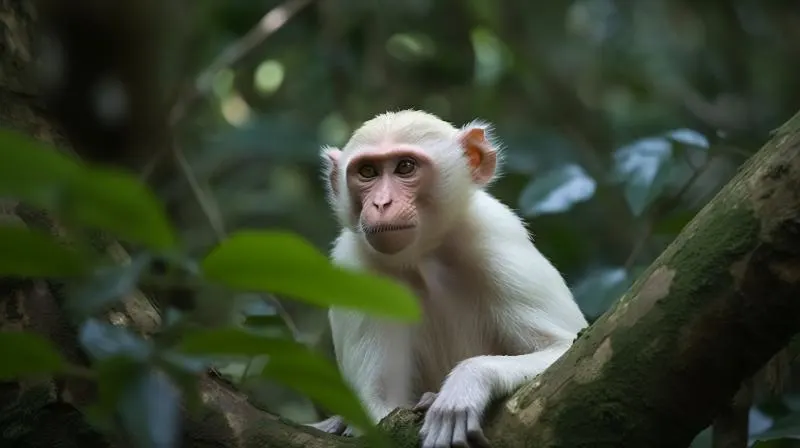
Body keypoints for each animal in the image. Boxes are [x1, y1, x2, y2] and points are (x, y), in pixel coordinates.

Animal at [308, 110, 588, 447]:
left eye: (405, 167)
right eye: (367, 172)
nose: (381, 204)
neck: (423, 258)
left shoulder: (497, 237)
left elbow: (565, 346)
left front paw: (463, 386)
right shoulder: (354, 268)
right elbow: (377, 411)